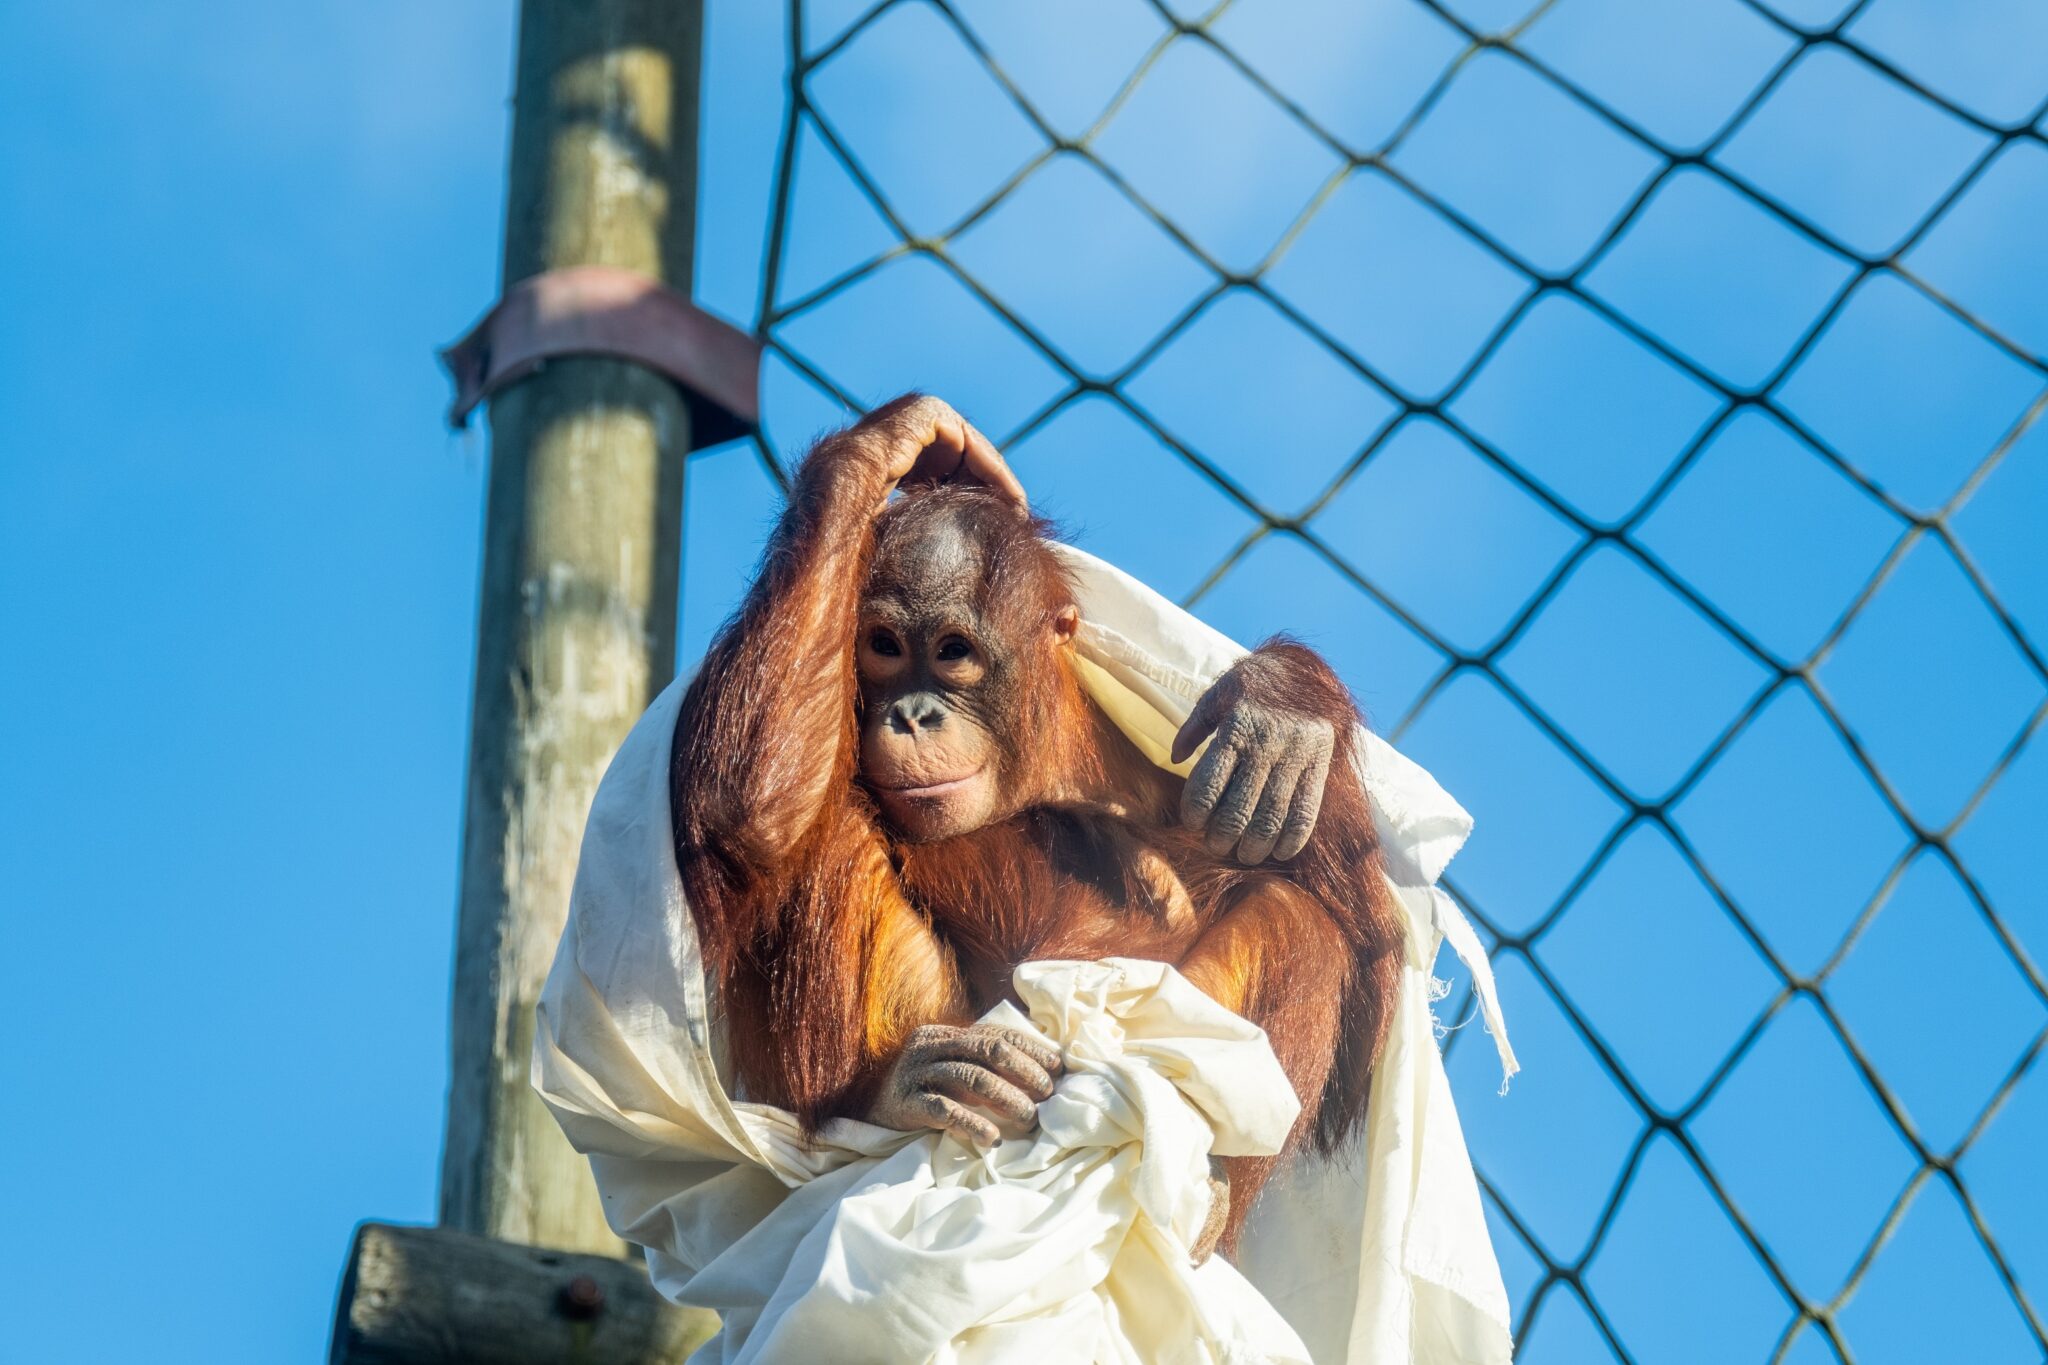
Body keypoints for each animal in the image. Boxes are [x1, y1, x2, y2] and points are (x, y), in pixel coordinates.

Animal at [669, 395, 1404, 1253]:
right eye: (882, 645)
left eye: (952, 650)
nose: (910, 715)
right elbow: (747, 816)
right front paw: (888, 445)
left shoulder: (1196, 790)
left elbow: (1372, 984)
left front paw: (1284, 707)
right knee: (819, 826)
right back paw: (902, 1089)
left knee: (1299, 919)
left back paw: (1205, 1196)